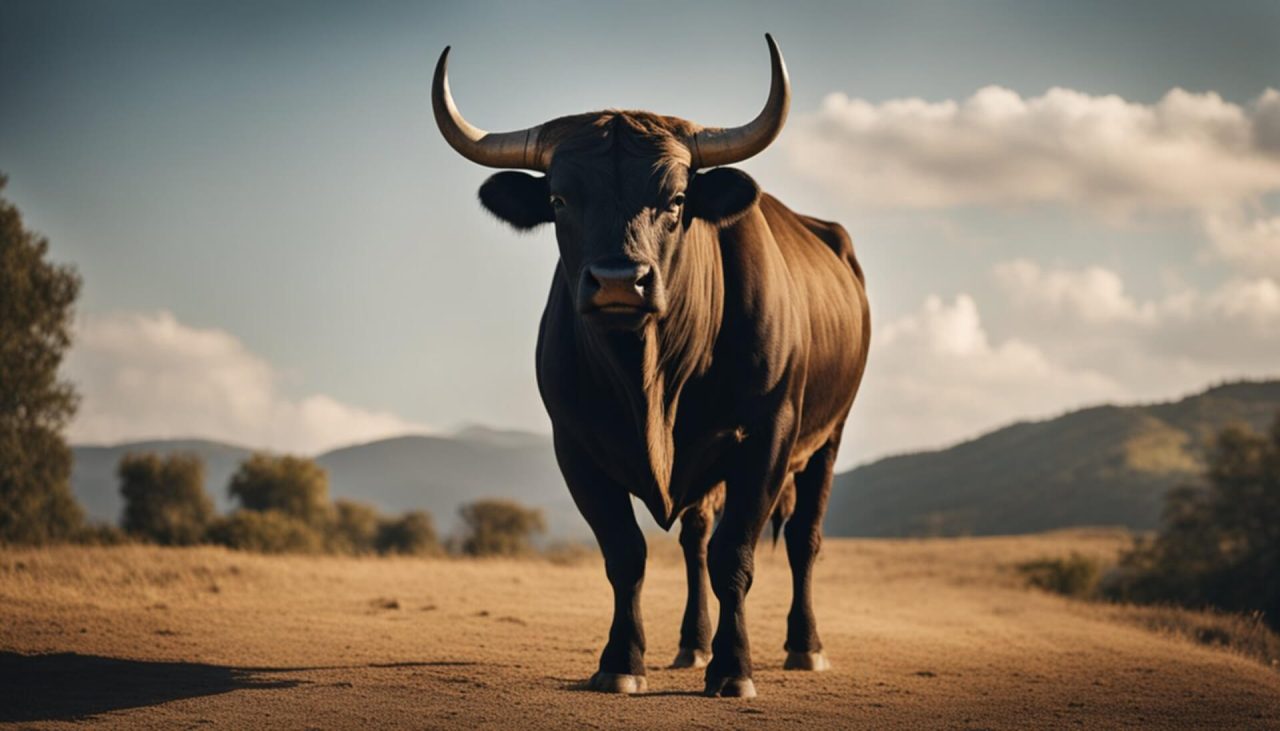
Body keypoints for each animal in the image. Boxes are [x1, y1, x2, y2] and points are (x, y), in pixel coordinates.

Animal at [432, 34, 869, 698]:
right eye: (559, 198)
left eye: (677, 199)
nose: (619, 281)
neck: (651, 376)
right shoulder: (575, 445)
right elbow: (625, 553)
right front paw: (621, 661)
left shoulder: (768, 436)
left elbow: (735, 555)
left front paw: (733, 669)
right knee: (695, 538)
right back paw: (691, 644)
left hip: (827, 438)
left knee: (802, 539)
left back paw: (804, 646)